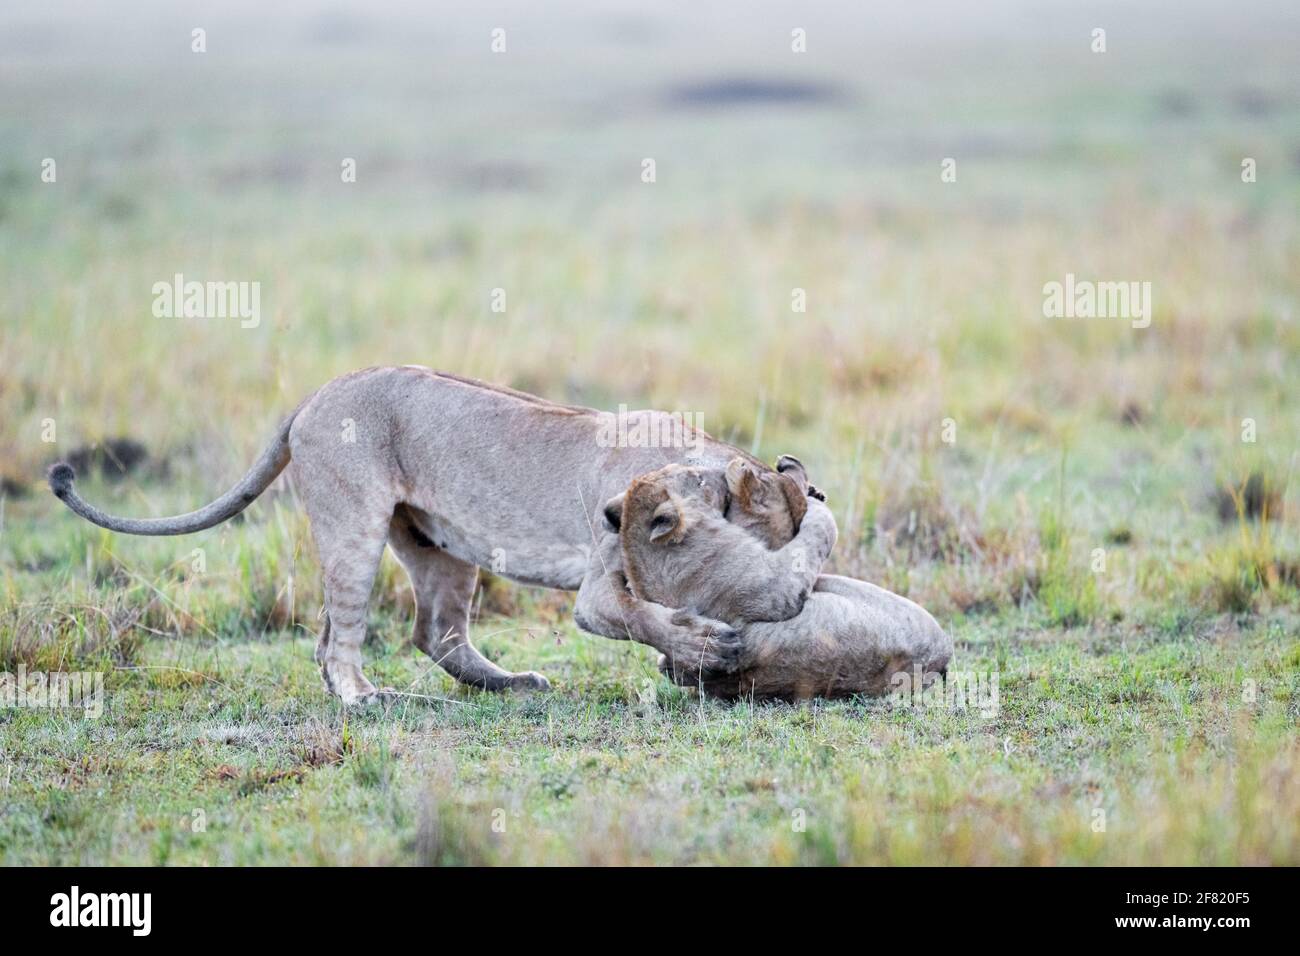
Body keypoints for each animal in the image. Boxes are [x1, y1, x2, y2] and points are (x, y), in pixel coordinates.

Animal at [48, 367, 838, 705]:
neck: (691, 466)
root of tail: (311, 396)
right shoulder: (595, 591)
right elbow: (636, 614)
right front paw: (704, 646)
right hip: (355, 525)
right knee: (337, 638)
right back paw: (362, 697)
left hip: (440, 546)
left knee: (434, 632)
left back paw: (511, 683)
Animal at [601, 459, 952, 700]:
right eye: (698, 480)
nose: (715, 469)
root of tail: (941, 661)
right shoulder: (772, 586)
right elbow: (813, 533)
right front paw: (812, 501)